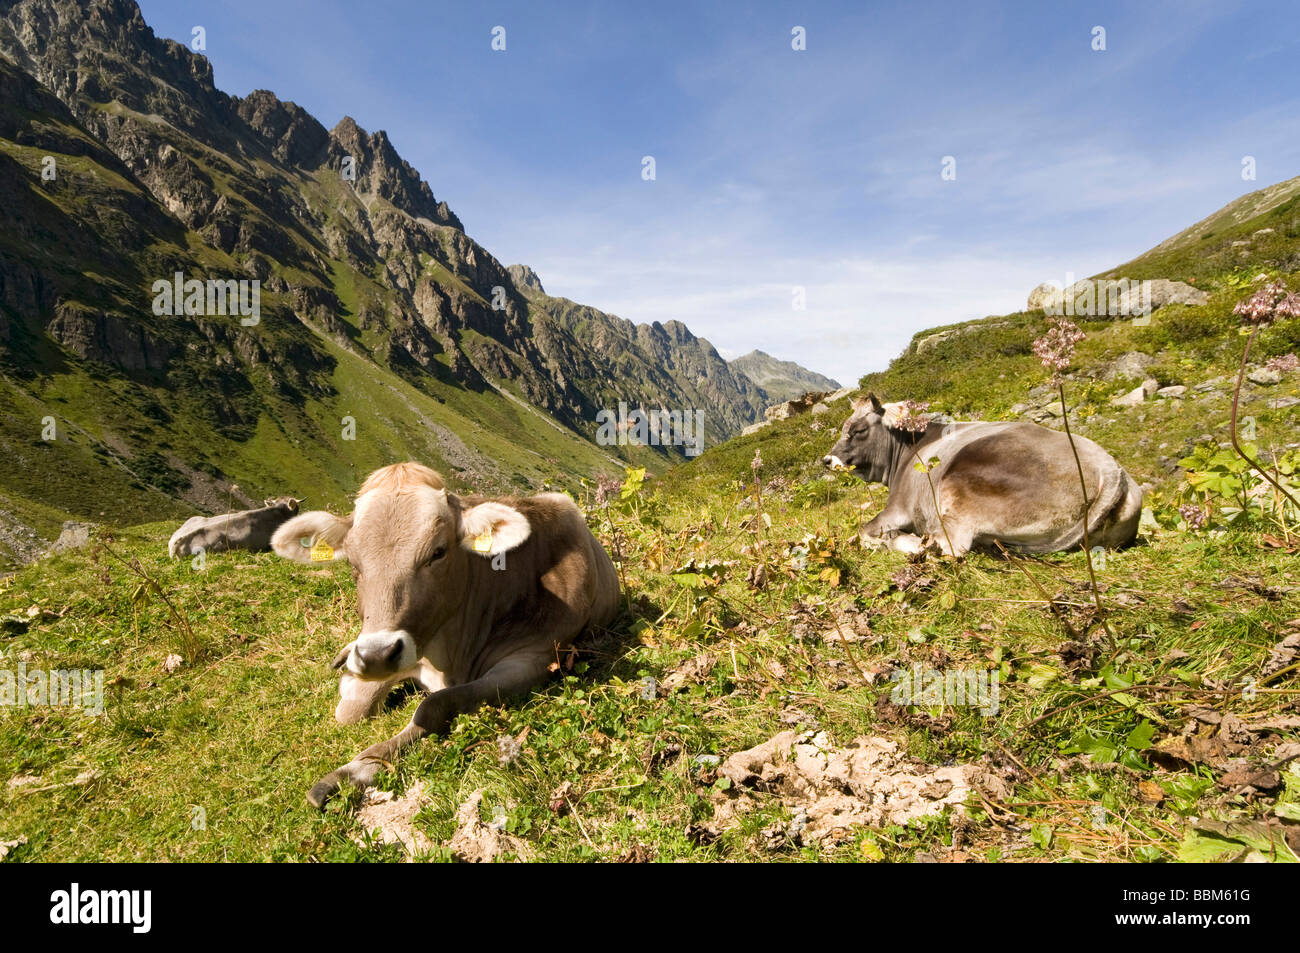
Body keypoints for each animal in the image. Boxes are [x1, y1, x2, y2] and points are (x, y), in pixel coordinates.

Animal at [269, 462, 621, 808]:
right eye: (352, 562)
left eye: (438, 552)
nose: (376, 656)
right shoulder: (413, 646)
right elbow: (351, 709)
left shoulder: (532, 660)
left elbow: (434, 705)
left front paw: (355, 769)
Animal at [823, 395, 1143, 557]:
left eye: (858, 430)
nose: (827, 460)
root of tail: (1110, 469)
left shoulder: (898, 507)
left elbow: (864, 529)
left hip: (962, 485)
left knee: (947, 545)